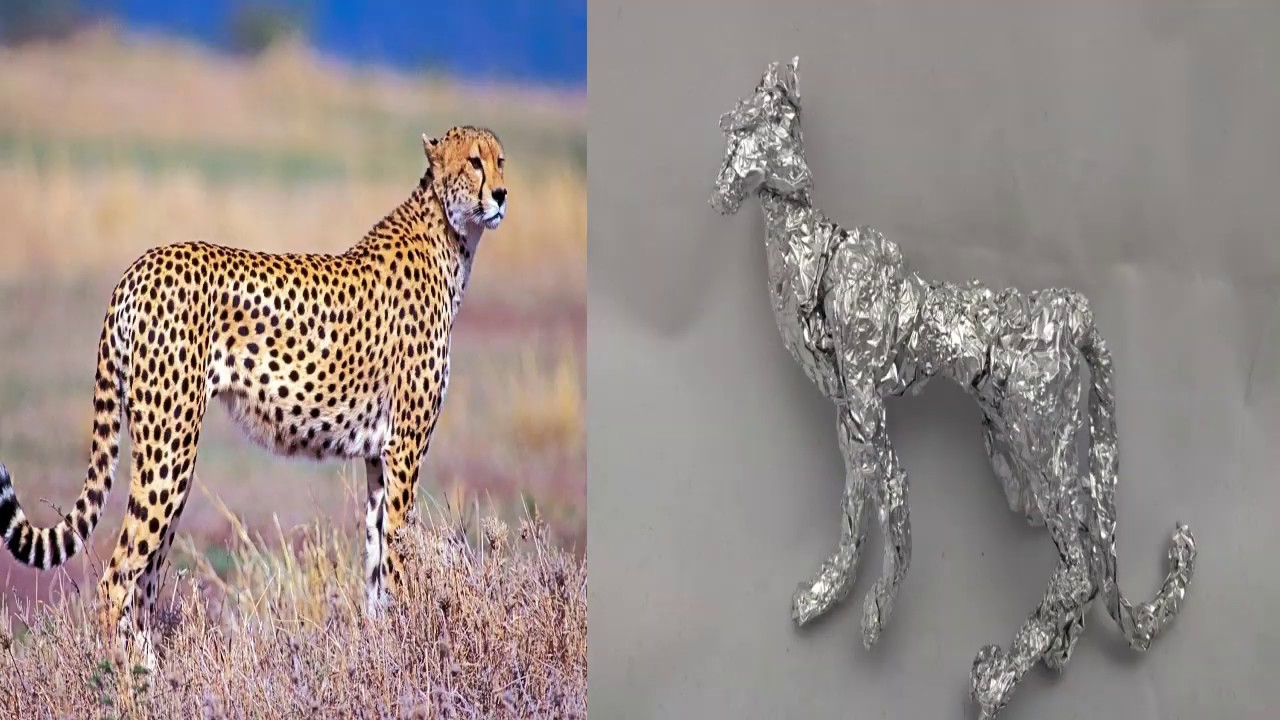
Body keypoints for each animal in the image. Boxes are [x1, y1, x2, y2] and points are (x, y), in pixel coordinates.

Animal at [0, 125, 508, 664]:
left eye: (500, 161)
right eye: (474, 162)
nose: (501, 195)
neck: (450, 235)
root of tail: (140, 266)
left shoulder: (379, 454)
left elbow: (376, 558)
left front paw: (380, 643)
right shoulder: (405, 449)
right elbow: (397, 558)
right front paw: (405, 643)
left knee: (145, 581)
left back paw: (154, 672)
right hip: (170, 450)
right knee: (118, 579)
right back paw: (124, 677)